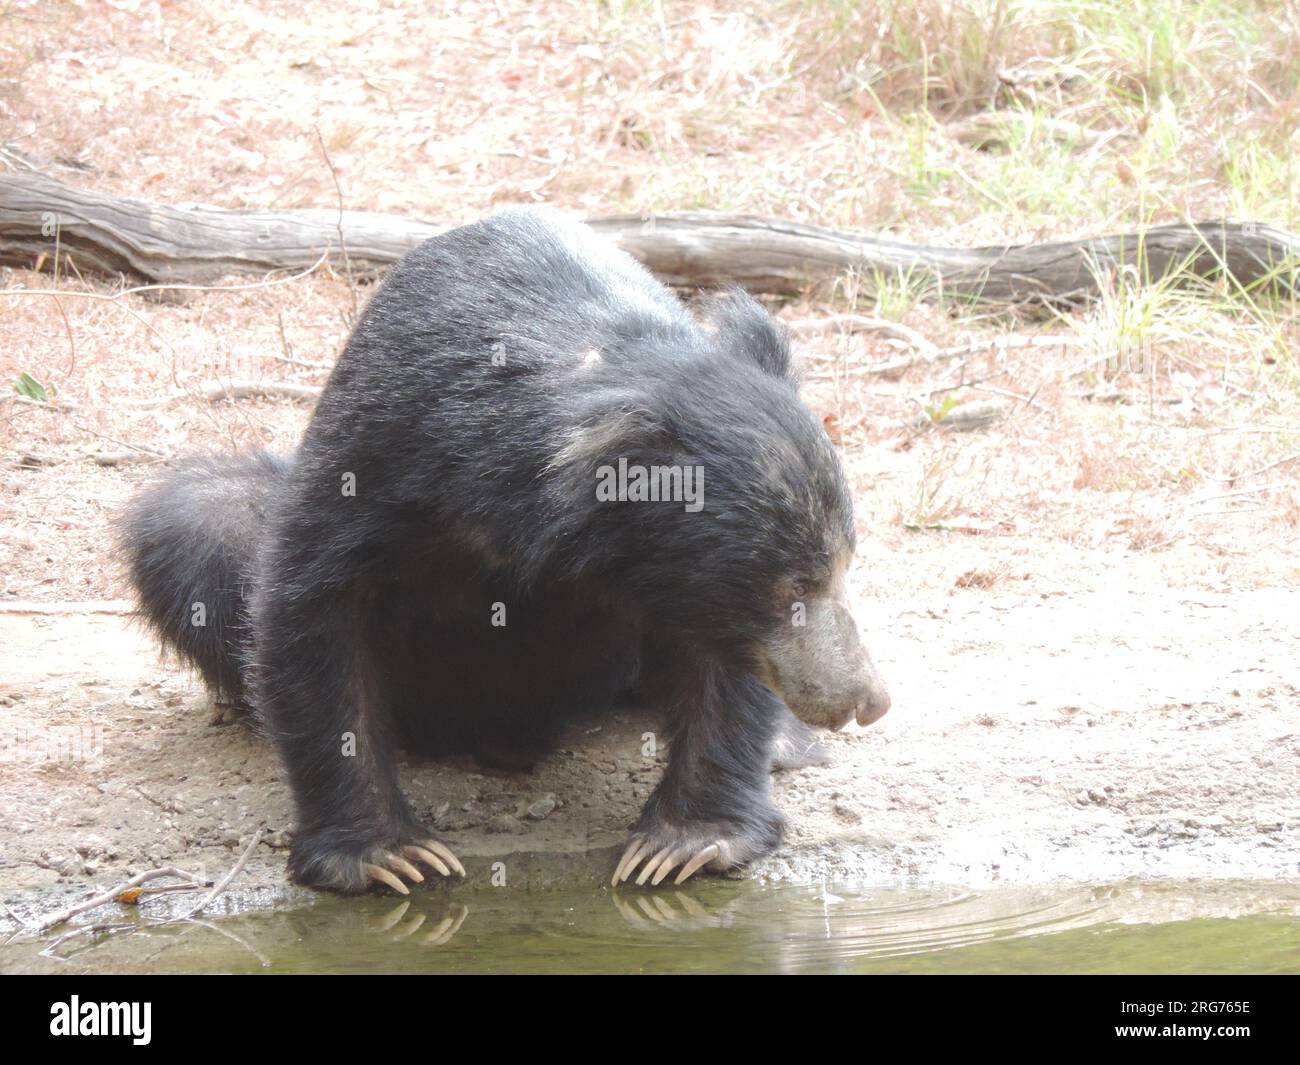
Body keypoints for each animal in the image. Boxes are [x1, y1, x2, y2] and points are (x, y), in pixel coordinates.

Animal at [122, 207, 891, 894]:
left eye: (842, 569)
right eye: (795, 587)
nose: (868, 702)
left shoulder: (689, 584)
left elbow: (723, 670)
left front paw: (685, 845)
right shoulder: (378, 450)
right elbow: (314, 605)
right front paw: (389, 857)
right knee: (197, 523)